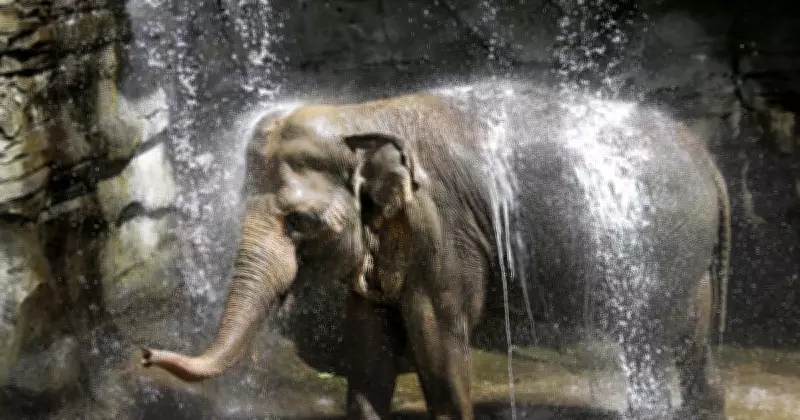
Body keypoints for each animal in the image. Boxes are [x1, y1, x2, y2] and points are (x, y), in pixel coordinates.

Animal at [141, 80, 730, 420]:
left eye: (301, 223)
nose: (145, 353)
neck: (362, 115)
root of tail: (711, 163)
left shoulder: (442, 227)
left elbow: (437, 336)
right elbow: (370, 344)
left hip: (660, 246)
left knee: (656, 336)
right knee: (688, 338)